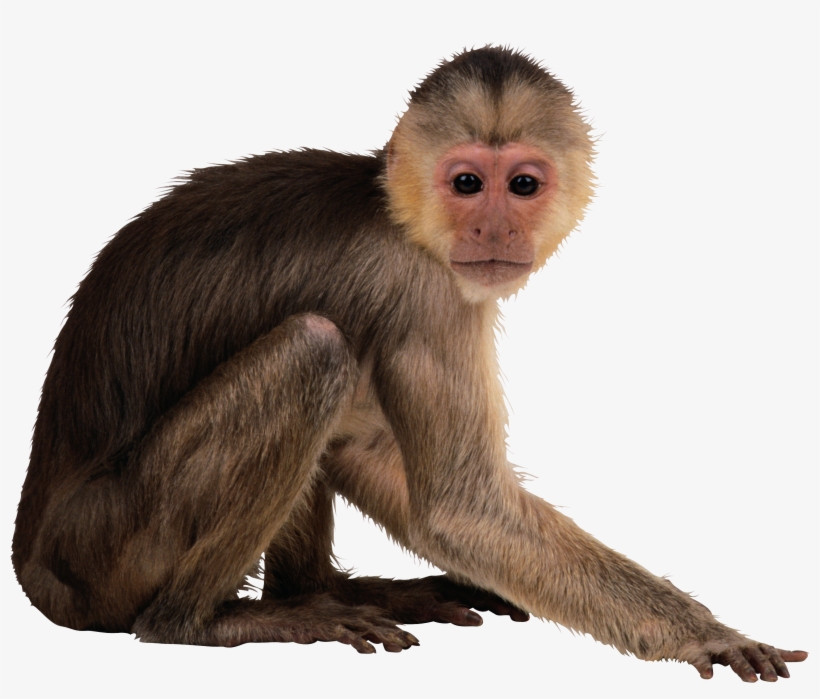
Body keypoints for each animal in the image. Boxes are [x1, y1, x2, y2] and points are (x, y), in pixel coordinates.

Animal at [11, 47, 807, 682]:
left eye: (522, 185)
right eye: (467, 184)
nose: (493, 229)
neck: (402, 220)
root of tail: (31, 562)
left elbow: (368, 450)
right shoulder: (427, 290)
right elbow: (459, 507)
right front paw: (703, 631)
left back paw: (320, 591)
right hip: (111, 548)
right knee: (316, 347)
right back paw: (205, 621)